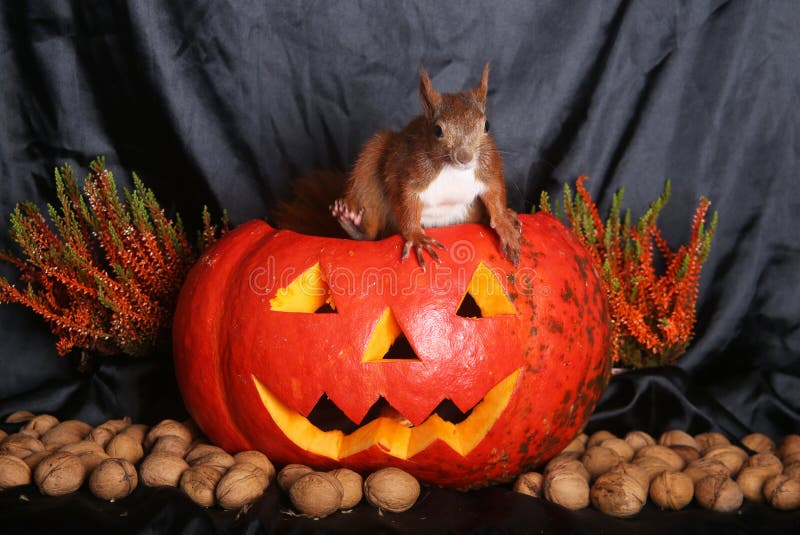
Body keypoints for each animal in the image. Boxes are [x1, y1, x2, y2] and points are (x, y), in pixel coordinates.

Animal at [275, 64, 521, 266]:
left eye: (486, 125)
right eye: (437, 130)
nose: (465, 157)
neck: (452, 169)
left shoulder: (487, 168)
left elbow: (495, 193)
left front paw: (504, 224)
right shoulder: (412, 169)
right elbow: (406, 198)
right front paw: (416, 236)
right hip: (370, 163)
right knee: (370, 234)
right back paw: (353, 223)